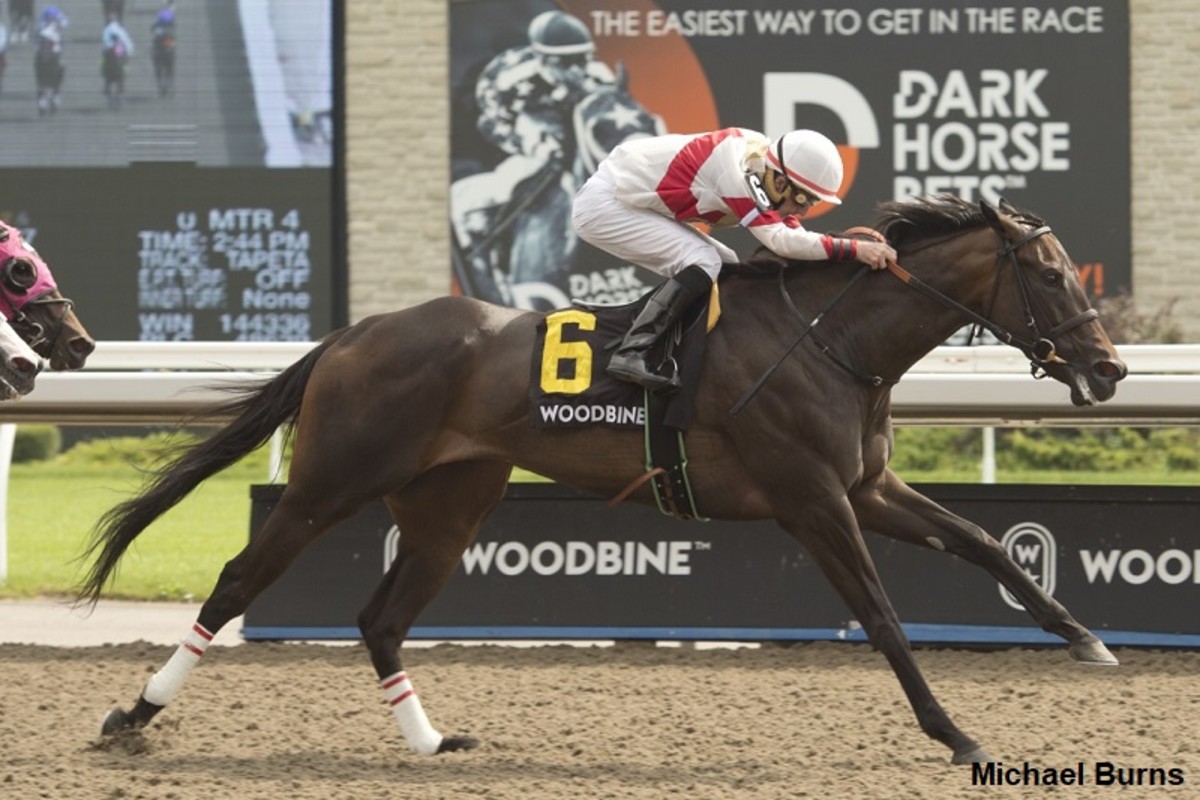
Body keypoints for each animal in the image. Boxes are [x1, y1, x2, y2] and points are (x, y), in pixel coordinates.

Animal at [80, 196, 1126, 765]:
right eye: (1050, 274)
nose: (1111, 369)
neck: (834, 342)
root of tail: (351, 332)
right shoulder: (814, 502)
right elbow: (882, 618)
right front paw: (956, 733)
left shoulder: (866, 489)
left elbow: (985, 541)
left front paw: (1085, 639)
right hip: (328, 484)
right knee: (237, 583)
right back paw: (133, 714)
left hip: (452, 502)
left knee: (380, 617)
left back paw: (427, 742)